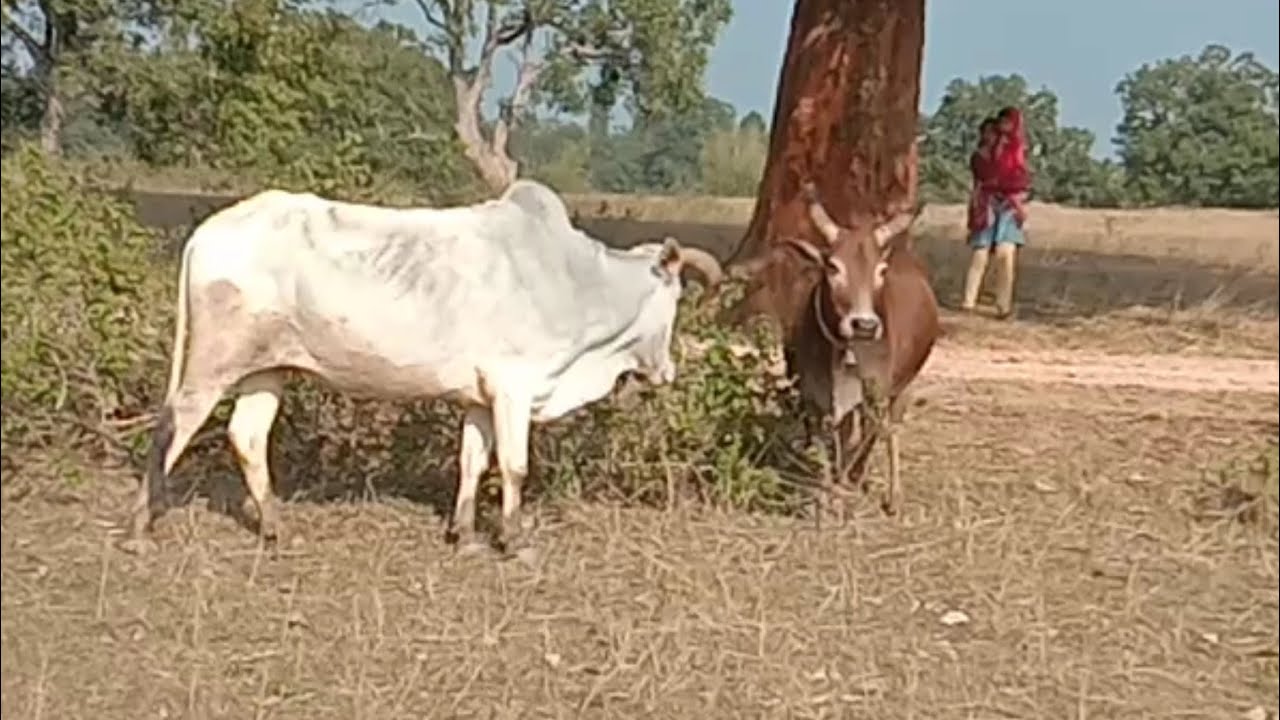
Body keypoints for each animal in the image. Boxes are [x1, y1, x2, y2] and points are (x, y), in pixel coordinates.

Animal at [127, 180, 723, 557]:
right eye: (675, 296)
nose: (666, 370)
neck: (576, 282)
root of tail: (207, 232)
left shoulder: (479, 399)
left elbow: (471, 463)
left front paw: (463, 535)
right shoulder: (514, 388)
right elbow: (514, 467)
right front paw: (515, 540)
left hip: (266, 369)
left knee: (246, 435)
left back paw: (276, 530)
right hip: (213, 360)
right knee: (173, 425)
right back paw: (142, 525)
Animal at [775, 182, 940, 515]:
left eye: (881, 270)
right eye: (833, 267)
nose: (864, 324)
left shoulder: (877, 395)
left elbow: (862, 447)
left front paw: (850, 486)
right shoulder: (814, 399)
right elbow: (829, 452)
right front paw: (828, 496)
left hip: (904, 388)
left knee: (890, 433)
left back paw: (892, 496)